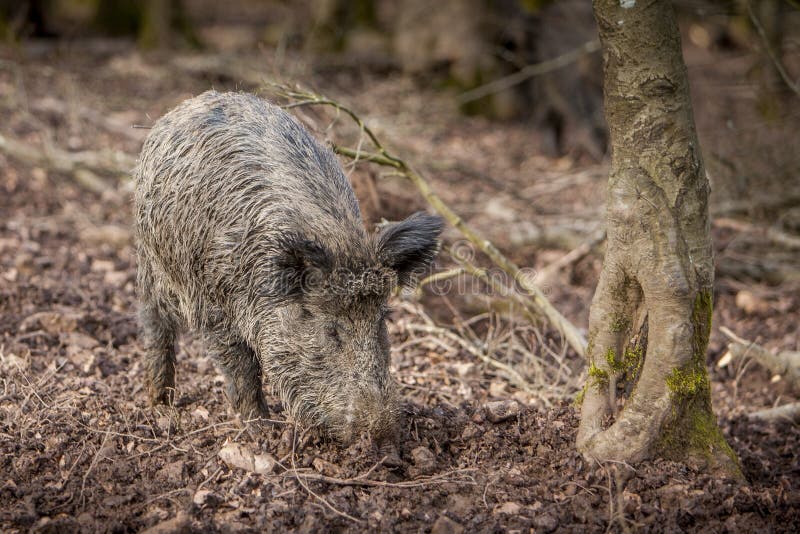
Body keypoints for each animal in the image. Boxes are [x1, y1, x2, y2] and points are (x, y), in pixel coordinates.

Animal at [134, 90, 443, 443]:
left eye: (381, 321)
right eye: (331, 330)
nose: (382, 430)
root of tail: (186, 106)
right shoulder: (213, 306)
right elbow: (243, 368)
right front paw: (262, 430)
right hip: (151, 262)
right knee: (154, 322)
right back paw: (160, 401)